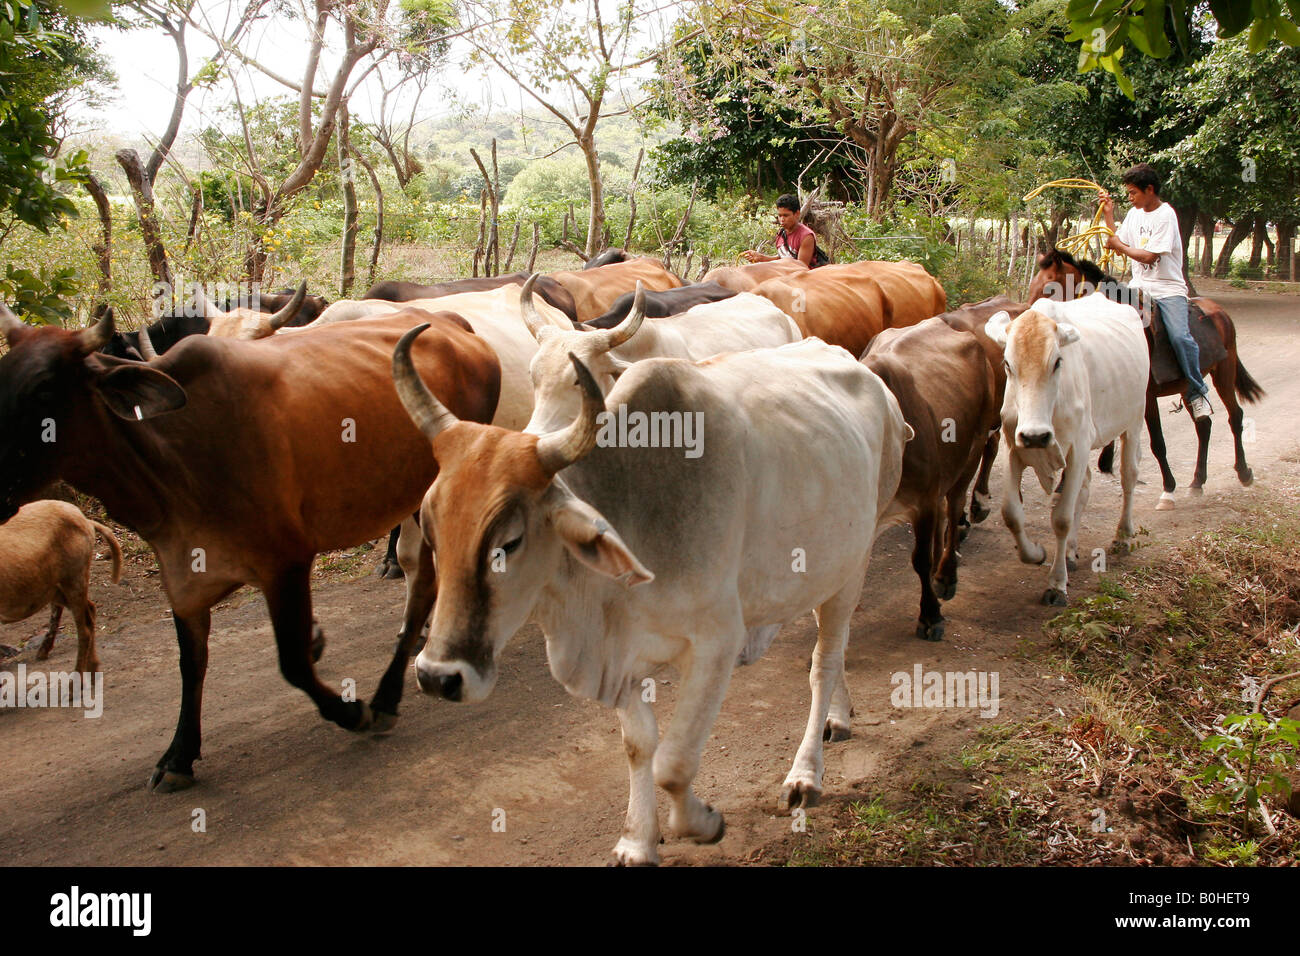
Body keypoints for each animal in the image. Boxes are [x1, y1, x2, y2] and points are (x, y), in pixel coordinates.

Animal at [0, 499, 122, 673]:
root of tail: (86, 521)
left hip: (74, 577)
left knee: (84, 627)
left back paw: (77, 675)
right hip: (56, 588)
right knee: (90, 610)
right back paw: (91, 668)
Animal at [391, 329, 910, 866]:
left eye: (508, 542)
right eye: (430, 528)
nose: (437, 677)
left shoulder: (717, 642)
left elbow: (674, 763)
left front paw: (702, 822)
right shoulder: (622, 654)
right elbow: (640, 745)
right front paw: (637, 840)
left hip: (855, 562)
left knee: (824, 662)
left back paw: (806, 773)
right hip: (822, 569)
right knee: (832, 648)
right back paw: (838, 717)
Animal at [862, 319, 998, 641]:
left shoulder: (921, 501)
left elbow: (920, 559)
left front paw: (930, 614)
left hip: (974, 446)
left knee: (954, 503)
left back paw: (946, 573)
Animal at [986, 294, 1149, 605]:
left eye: (1057, 362)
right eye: (1008, 364)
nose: (1036, 435)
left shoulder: (1079, 447)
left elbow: (1061, 518)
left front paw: (1057, 585)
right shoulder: (1015, 447)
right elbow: (1011, 513)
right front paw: (1036, 554)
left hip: (1134, 419)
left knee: (1129, 476)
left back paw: (1123, 536)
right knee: (1083, 490)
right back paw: (1071, 551)